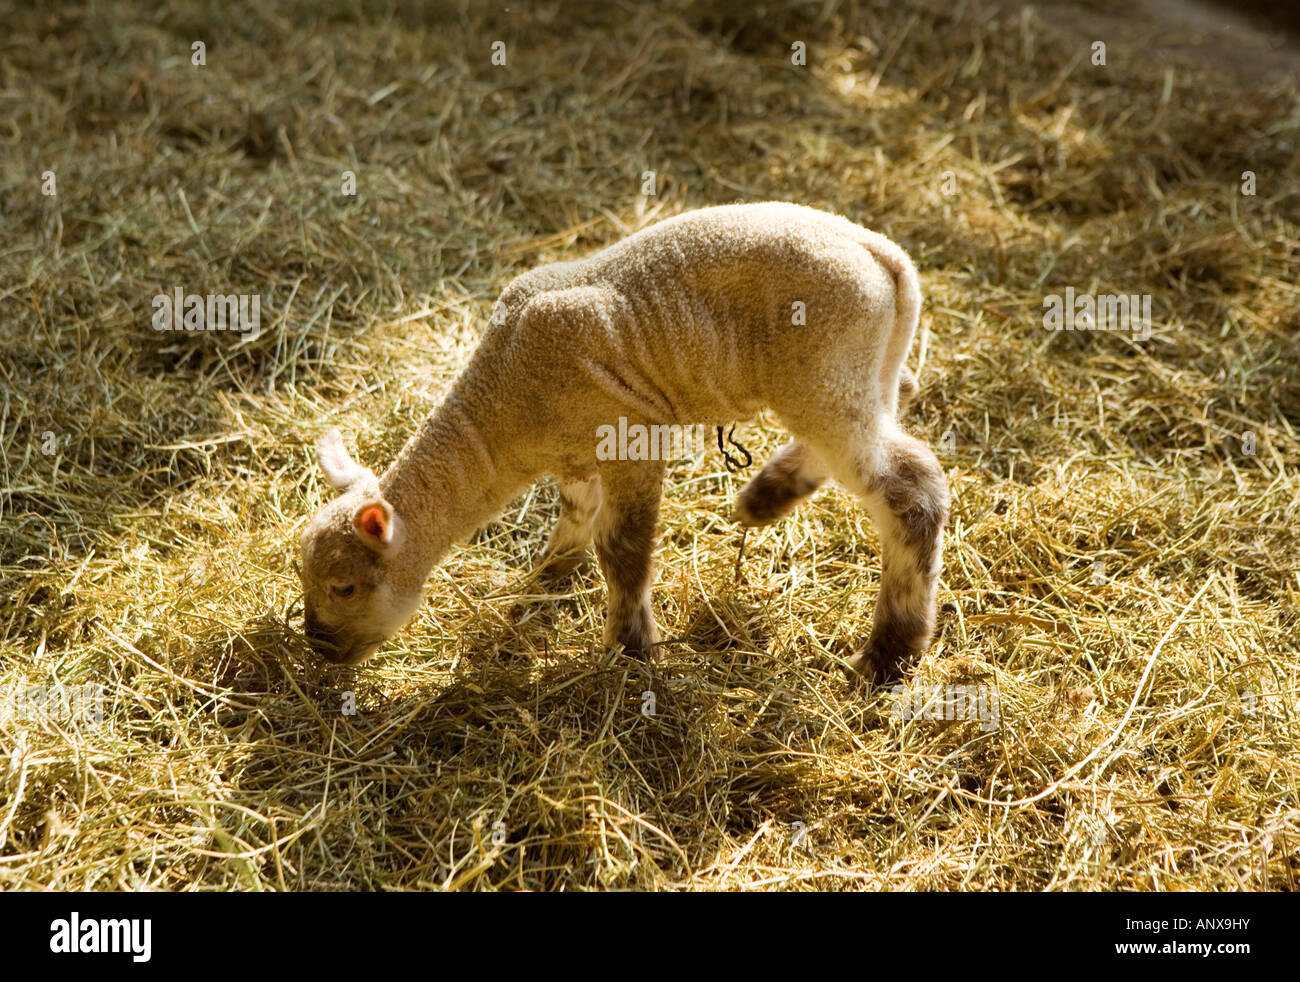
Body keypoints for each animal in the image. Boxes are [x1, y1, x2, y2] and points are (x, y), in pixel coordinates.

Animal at [298, 201, 949, 682]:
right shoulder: (576, 451)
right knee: (902, 393)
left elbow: (622, 547)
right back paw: (767, 495)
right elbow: (576, 513)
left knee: (914, 485)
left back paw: (890, 651)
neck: (501, 407)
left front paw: (630, 648)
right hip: (861, 367)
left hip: (824, 369)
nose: (320, 649)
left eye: (343, 585)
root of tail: (884, 255)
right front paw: (549, 575)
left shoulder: (630, 434)